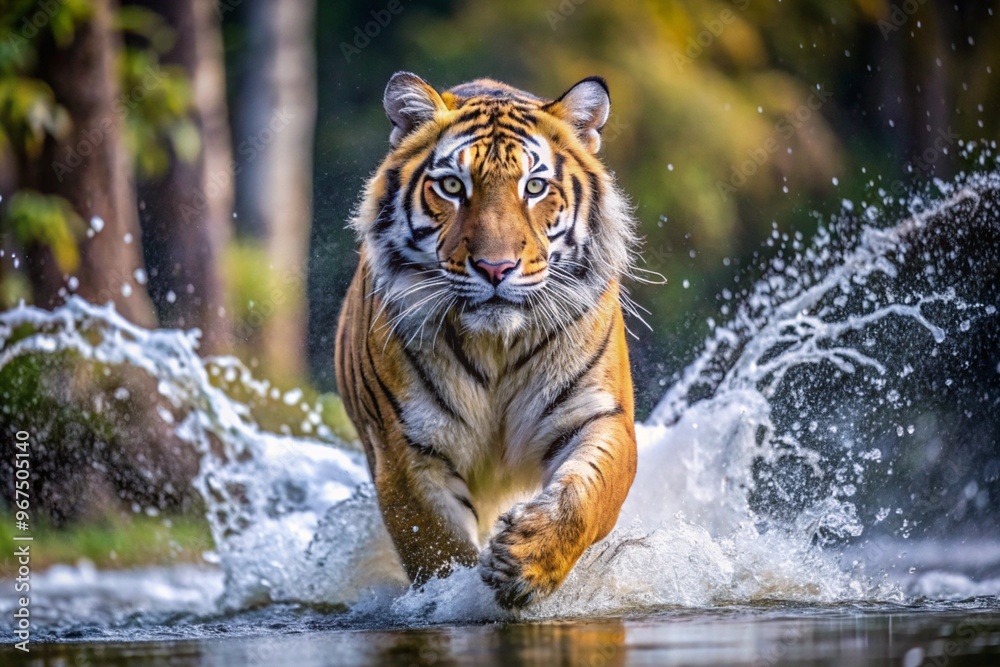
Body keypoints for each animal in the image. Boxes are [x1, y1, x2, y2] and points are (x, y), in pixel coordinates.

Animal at [335, 71, 639, 609]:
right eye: (453, 186)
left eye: (535, 187)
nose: (496, 268)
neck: (496, 345)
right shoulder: (405, 449)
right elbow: (437, 546)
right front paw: (453, 596)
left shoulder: (600, 415)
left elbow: (584, 497)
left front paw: (525, 560)